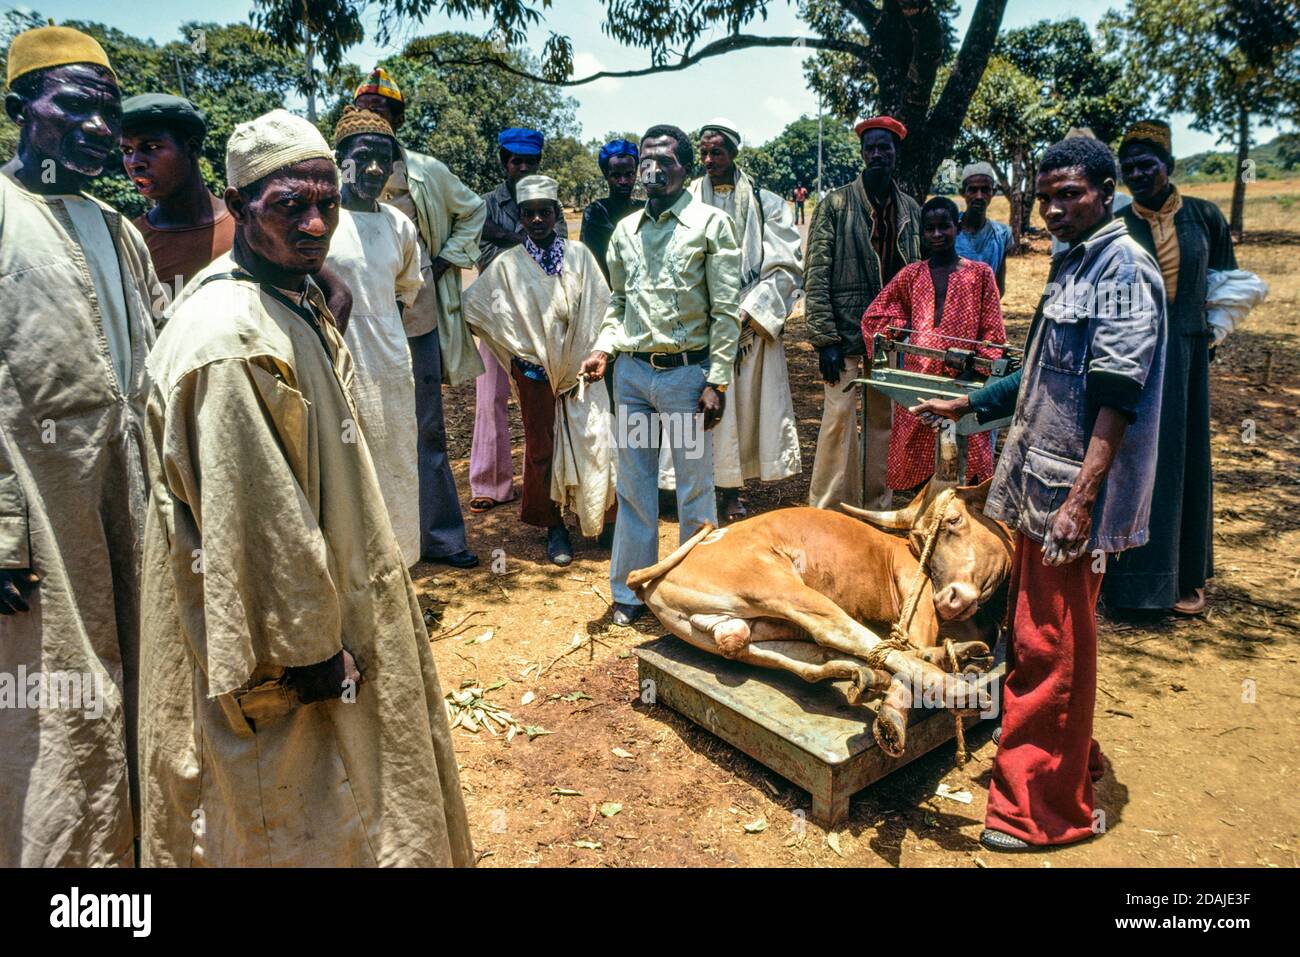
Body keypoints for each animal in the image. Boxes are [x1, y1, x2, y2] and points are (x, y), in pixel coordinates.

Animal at [627, 474, 1013, 757]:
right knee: (847, 635)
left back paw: (868, 675)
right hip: (779, 587)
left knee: (797, 658)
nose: (948, 599)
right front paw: (894, 716)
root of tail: (651, 581)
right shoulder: (915, 595)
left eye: (954, 520)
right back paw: (954, 688)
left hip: (742, 632)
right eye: (926, 538)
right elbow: (908, 643)